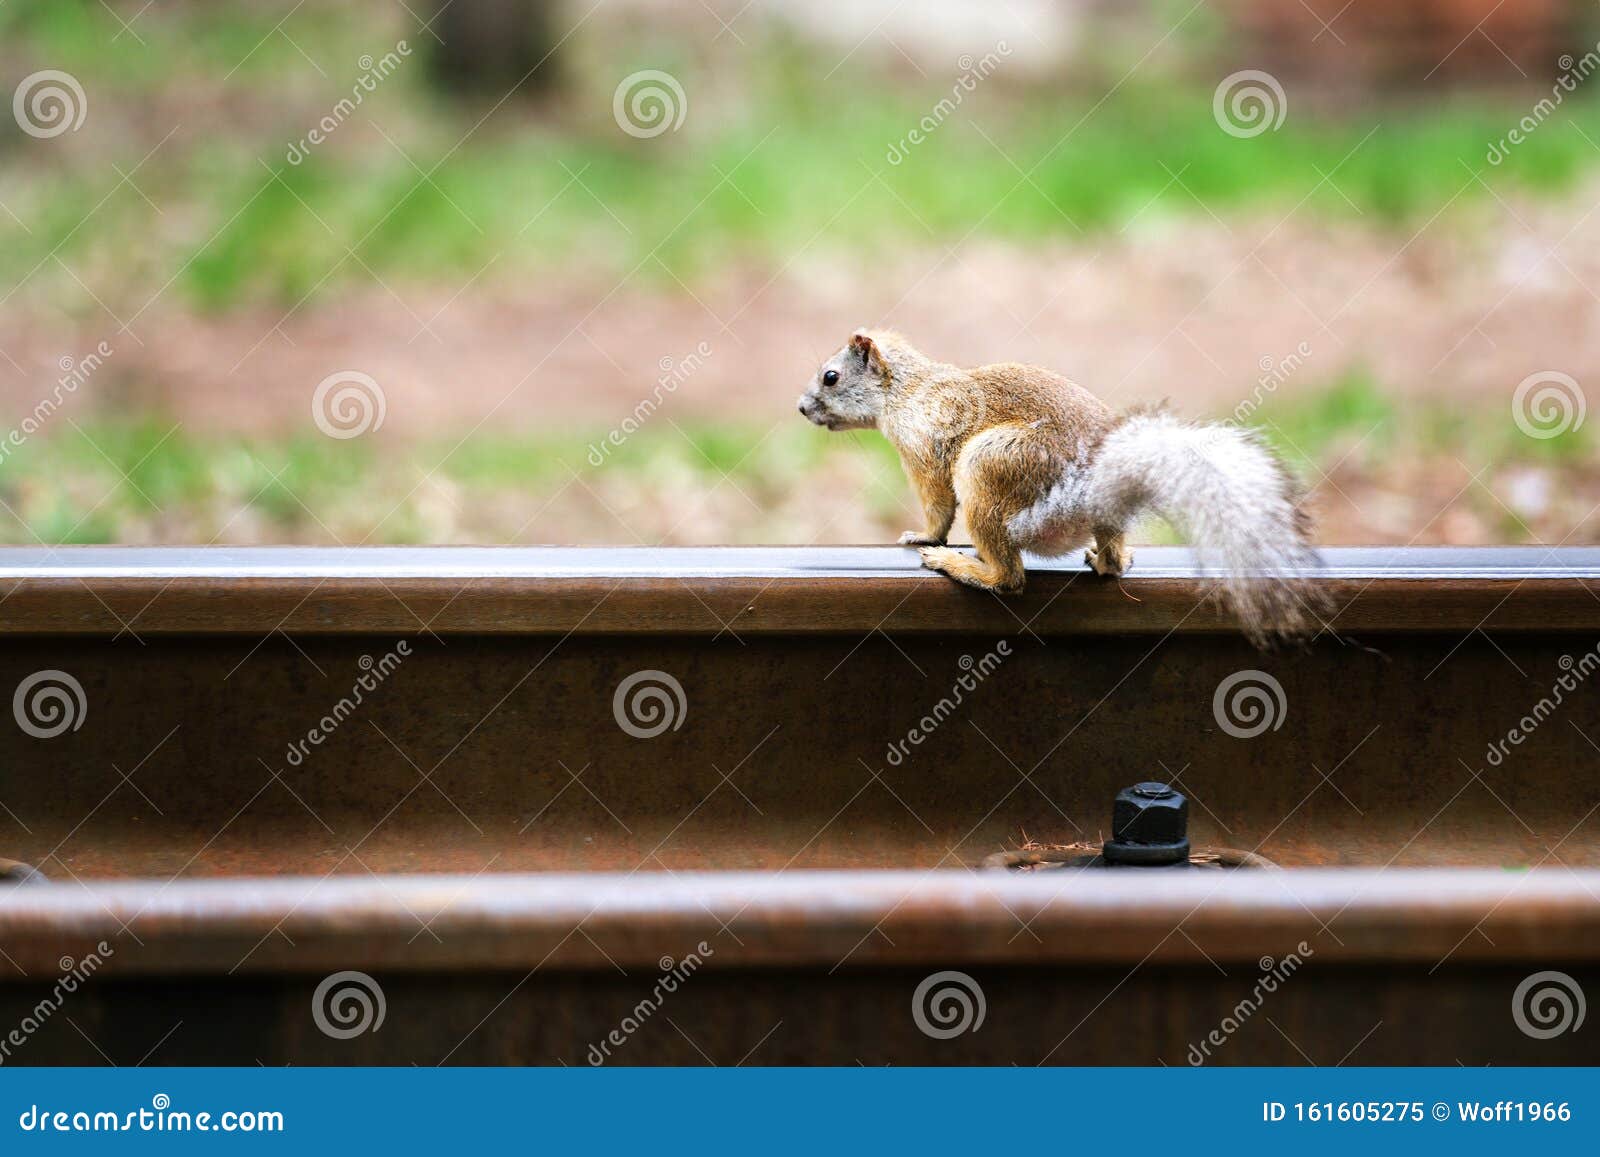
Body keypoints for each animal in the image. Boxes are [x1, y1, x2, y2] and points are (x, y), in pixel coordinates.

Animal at [797, 329, 1322, 644]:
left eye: (831, 376)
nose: (802, 407)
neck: (907, 392)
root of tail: (1093, 489)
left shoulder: (926, 452)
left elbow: (937, 505)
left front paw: (924, 537)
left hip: (988, 471)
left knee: (1009, 578)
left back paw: (960, 564)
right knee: (1110, 559)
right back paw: (1108, 559)